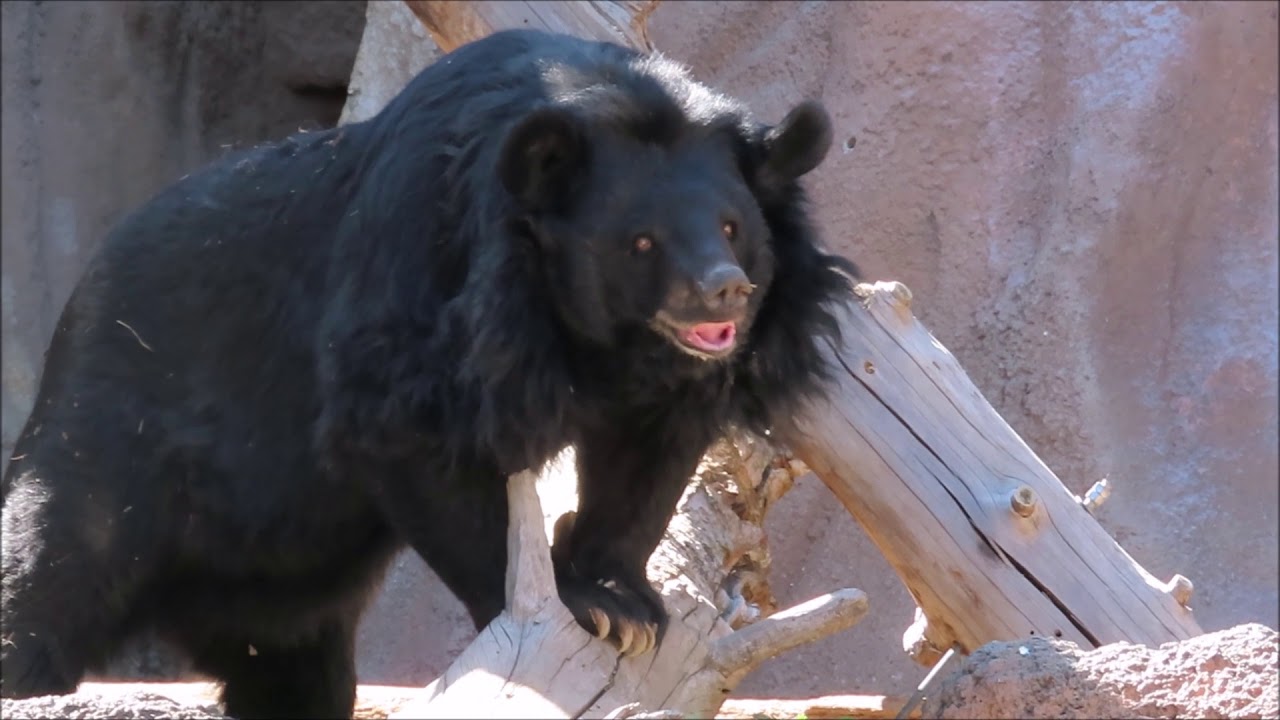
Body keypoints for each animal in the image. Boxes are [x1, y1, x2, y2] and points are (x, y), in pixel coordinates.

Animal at [1, 28, 857, 718]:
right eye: (641, 242)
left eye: (733, 228)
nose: (722, 292)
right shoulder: (421, 273)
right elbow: (408, 437)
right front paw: (575, 603)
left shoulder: (664, 384)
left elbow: (645, 462)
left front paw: (626, 600)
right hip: (114, 436)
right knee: (46, 570)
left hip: (282, 601)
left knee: (296, 673)